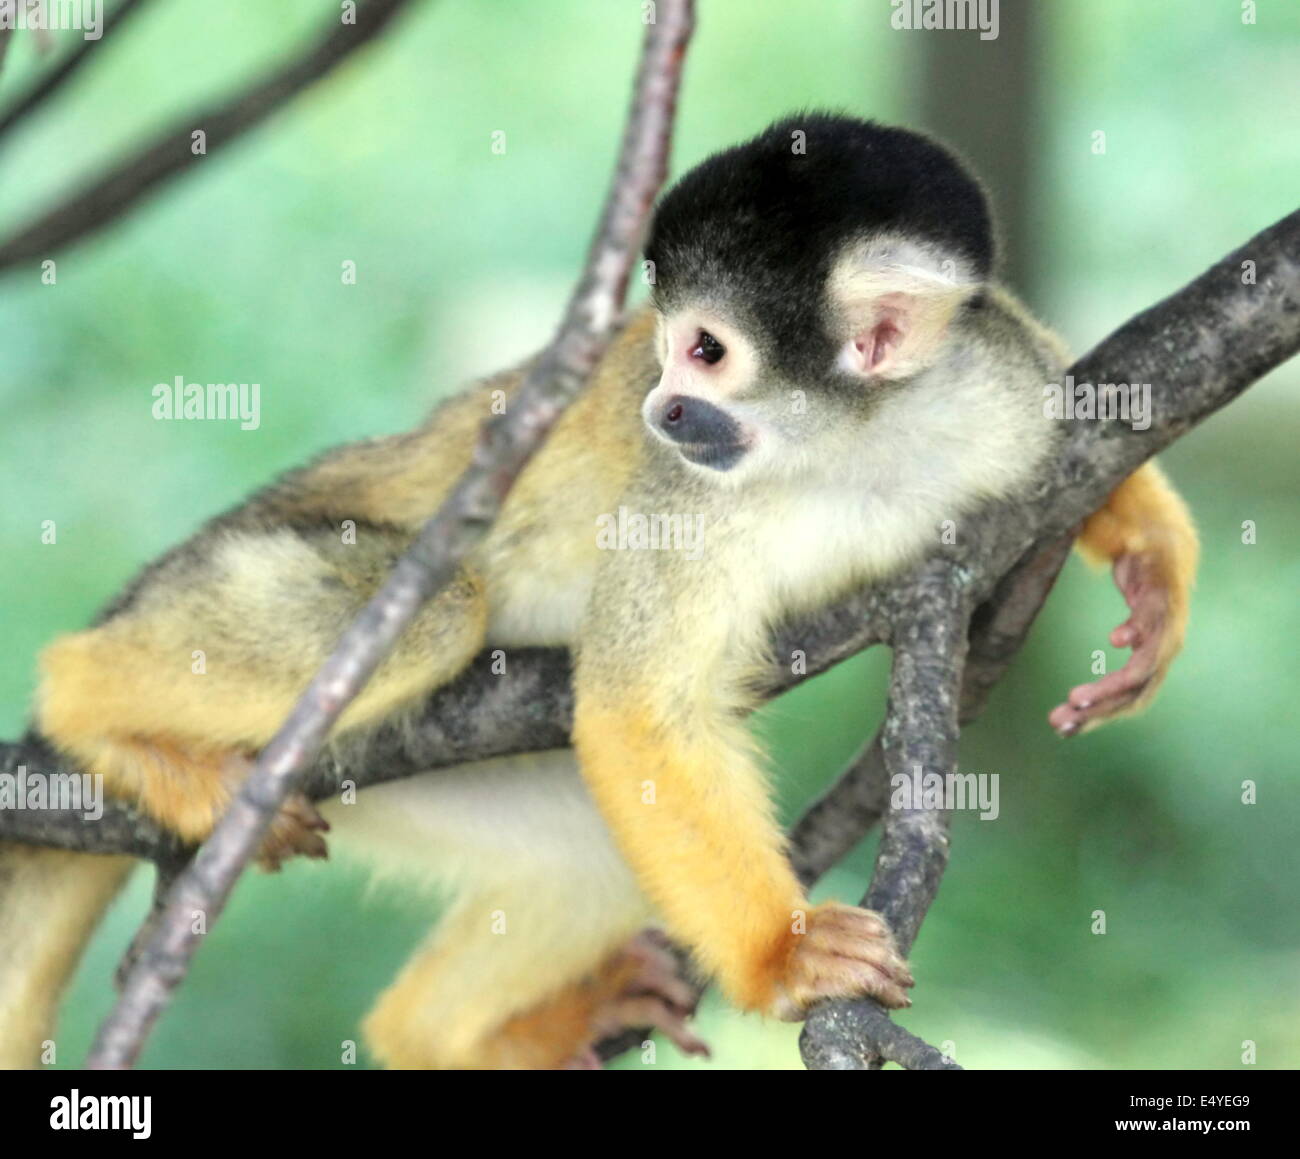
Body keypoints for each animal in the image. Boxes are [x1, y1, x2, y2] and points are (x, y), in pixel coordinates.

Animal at [1, 113, 1198, 1069]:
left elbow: (1093, 415)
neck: (852, 437)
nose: (655, 407)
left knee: (584, 853)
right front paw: (783, 955)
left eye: (705, 351)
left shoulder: (996, 381)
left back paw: (444, 1035)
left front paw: (1146, 566)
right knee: (436, 611)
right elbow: (636, 707)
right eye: (661, 346)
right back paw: (97, 712)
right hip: (243, 571)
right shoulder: (686, 494)